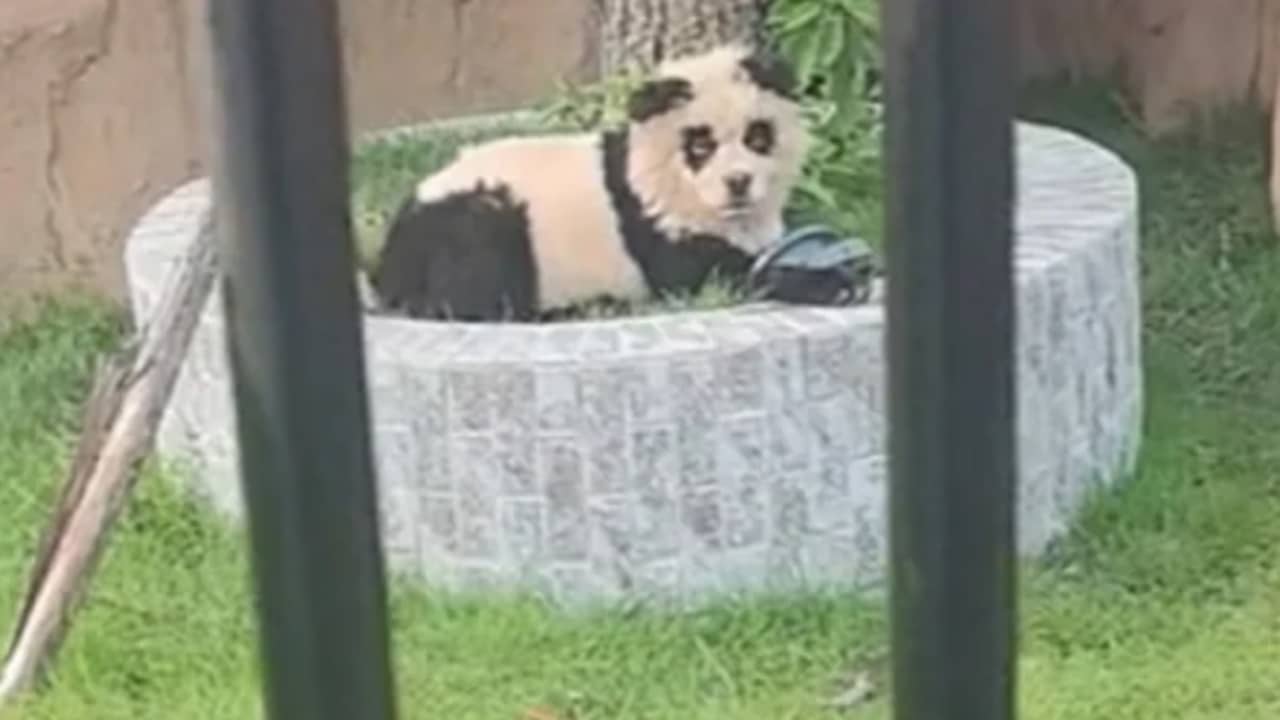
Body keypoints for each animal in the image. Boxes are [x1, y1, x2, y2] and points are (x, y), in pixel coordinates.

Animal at [369, 44, 812, 322]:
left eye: (757, 137)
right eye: (700, 146)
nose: (738, 182)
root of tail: (390, 261)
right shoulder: (656, 220)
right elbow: (708, 275)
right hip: (481, 214)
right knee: (474, 286)